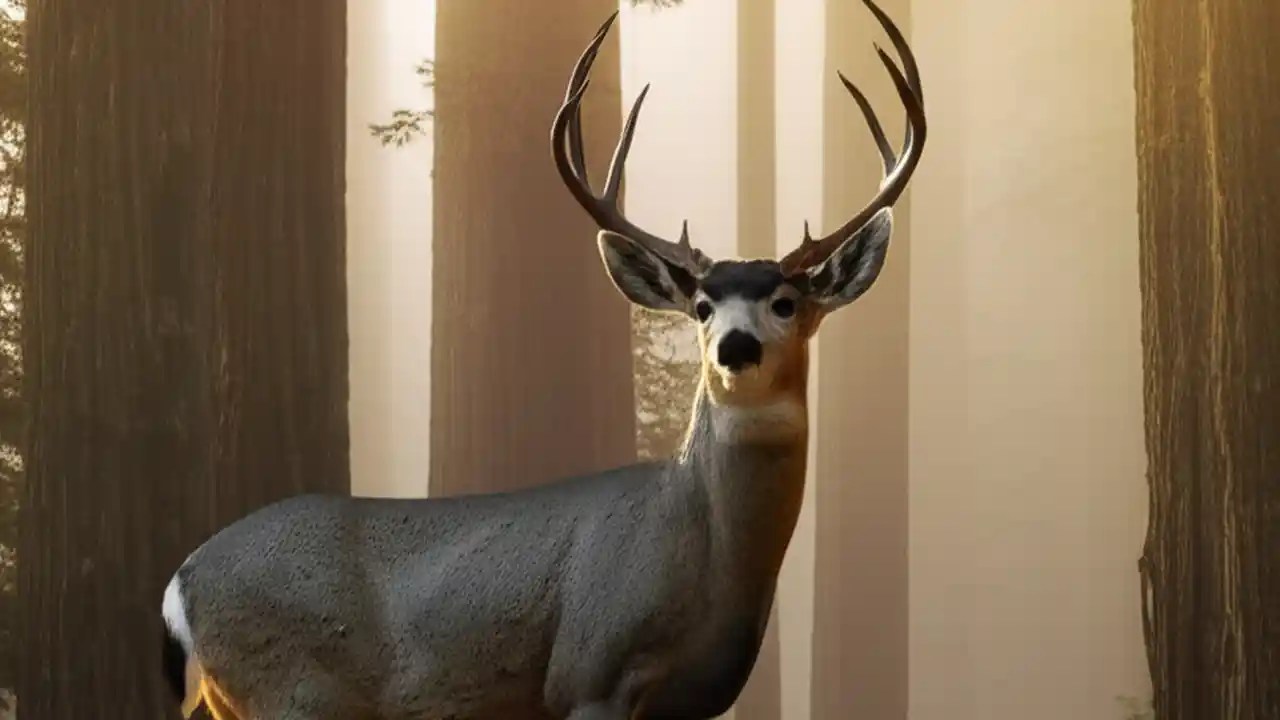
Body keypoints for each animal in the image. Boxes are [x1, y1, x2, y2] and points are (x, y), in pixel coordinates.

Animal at [159, 1, 925, 718]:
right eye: (702, 306)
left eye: (787, 301)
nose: (737, 347)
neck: (703, 553)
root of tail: (181, 583)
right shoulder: (589, 674)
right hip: (296, 690)